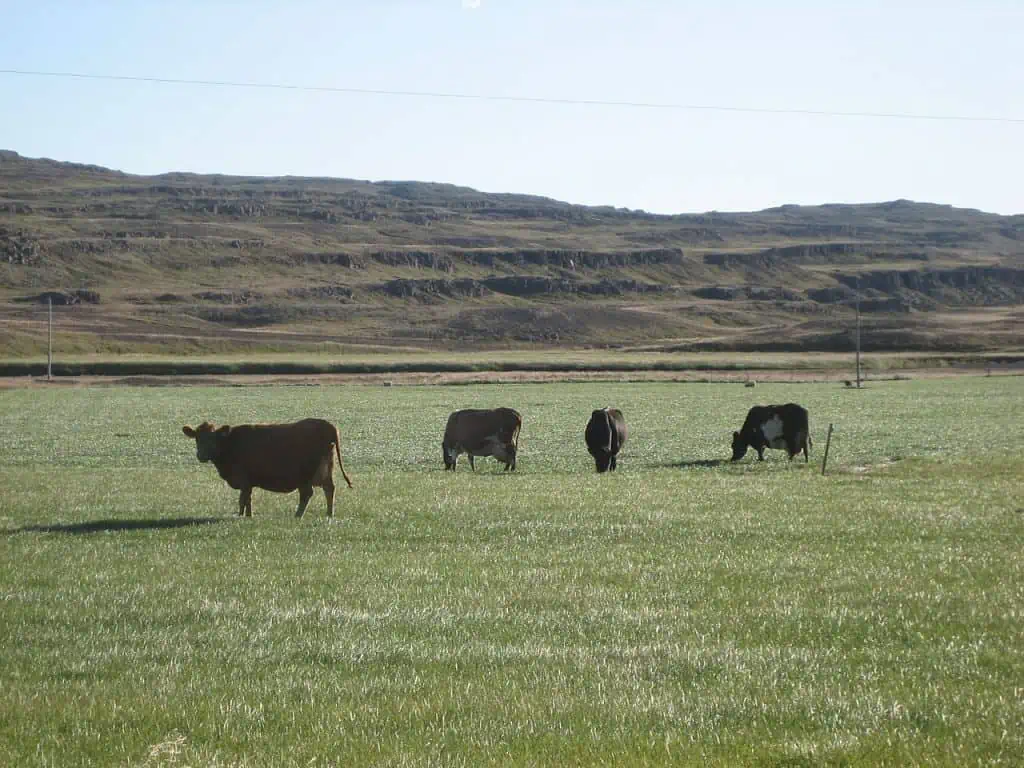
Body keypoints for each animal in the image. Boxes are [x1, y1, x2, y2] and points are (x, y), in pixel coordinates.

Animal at [181, 418, 353, 517]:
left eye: (213, 438)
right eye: (197, 439)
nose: (201, 455)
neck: (230, 443)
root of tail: (329, 426)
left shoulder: (244, 479)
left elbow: (242, 499)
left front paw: (241, 516)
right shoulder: (248, 482)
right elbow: (248, 499)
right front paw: (248, 515)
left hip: (305, 473)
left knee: (307, 493)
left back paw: (298, 515)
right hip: (325, 469)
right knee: (329, 488)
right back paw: (329, 514)